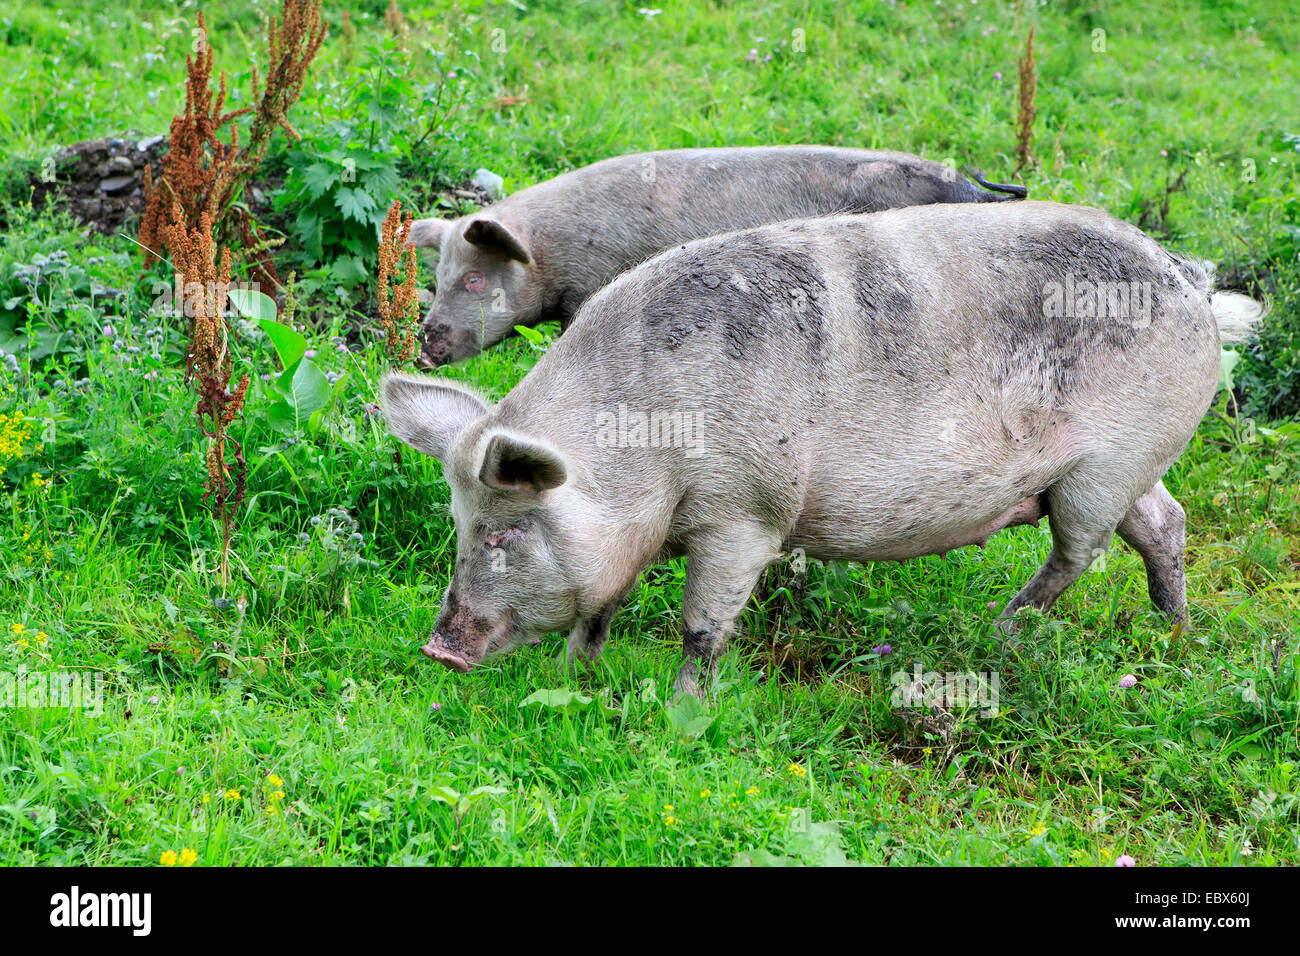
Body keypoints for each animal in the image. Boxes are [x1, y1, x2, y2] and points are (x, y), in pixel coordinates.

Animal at [382, 200, 1263, 697]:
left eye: (505, 530)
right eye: (458, 528)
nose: (437, 647)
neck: (647, 448)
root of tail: (1184, 276)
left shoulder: (746, 514)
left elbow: (702, 627)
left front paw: (683, 713)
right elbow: (597, 613)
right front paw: (573, 682)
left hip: (1102, 467)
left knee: (1082, 552)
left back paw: (1003, 629)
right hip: (1129, 466)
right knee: (1165, 525)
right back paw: (1172, 631)